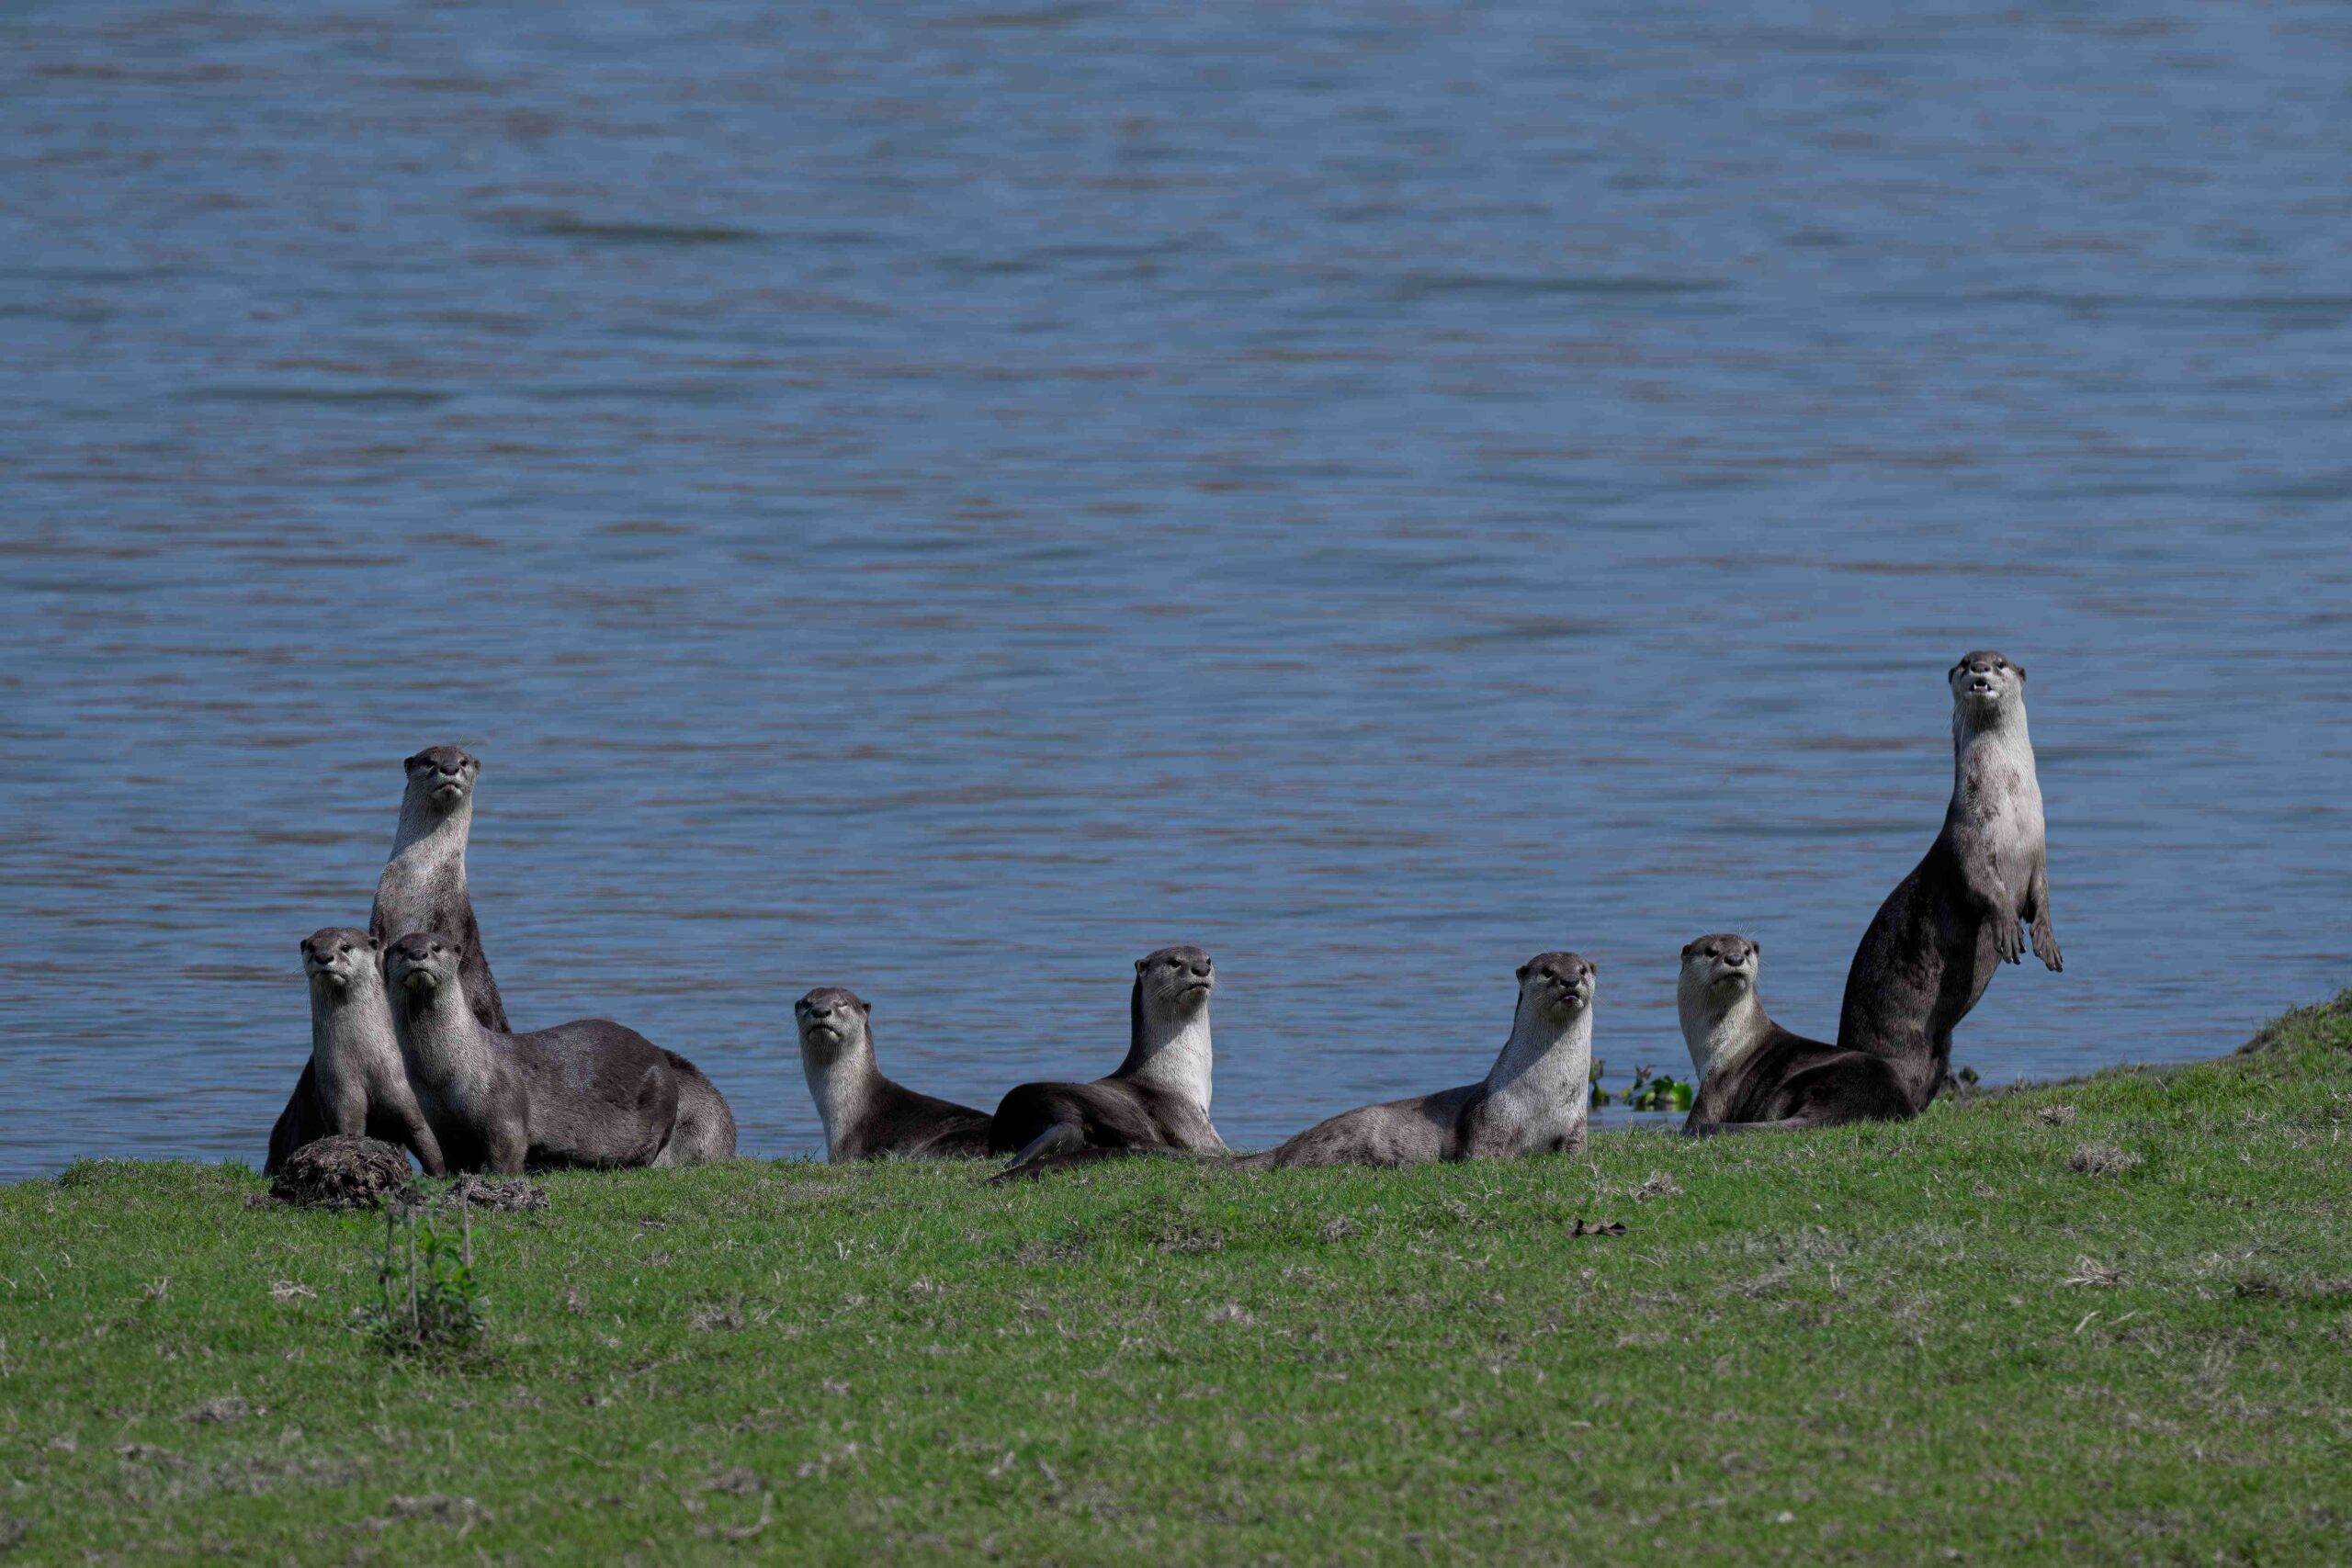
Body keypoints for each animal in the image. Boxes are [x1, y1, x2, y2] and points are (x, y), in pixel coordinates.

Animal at [383, 931, 731, 1173]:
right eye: (400, 948)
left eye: (436, 947)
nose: (417, 953)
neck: (443, 1075)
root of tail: (659, 1056)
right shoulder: (441, 1123)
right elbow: (453, 1157)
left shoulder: (502, 1108)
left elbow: (507, 1150)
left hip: (658, 1101)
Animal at [988, 945, 1226, 1178]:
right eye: (1174, 962)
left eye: (1208, 959)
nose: (1201, 969)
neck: (1175, 1074)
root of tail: (1059, 1112)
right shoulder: (1187, 1117)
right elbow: (1213, 1147)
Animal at [1246, 952, 1595, 1168]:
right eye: (1548, 971)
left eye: (1582, 970)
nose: (1569, 981)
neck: (1544, 1096)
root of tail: (1285, 1148)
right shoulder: (1490, 1122)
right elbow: (1482, 1155)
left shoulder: (1576, 1125)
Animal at [1676, 935, 1909, 1134]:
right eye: (1711, 951)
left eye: (1746, 950)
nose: (1735, 958)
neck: (1730, 1043)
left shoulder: (1719, 1087)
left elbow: (1702, 1118)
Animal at [1837, 651, 2061, 1110]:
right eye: (1964, 662)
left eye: (2000, 662)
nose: (1980, 667)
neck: (2011, 815)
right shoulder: (1969, 843)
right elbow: (1984, 888)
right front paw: (2008, 926)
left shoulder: (2038, 851)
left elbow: (2043, 895)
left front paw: (2047, 939)